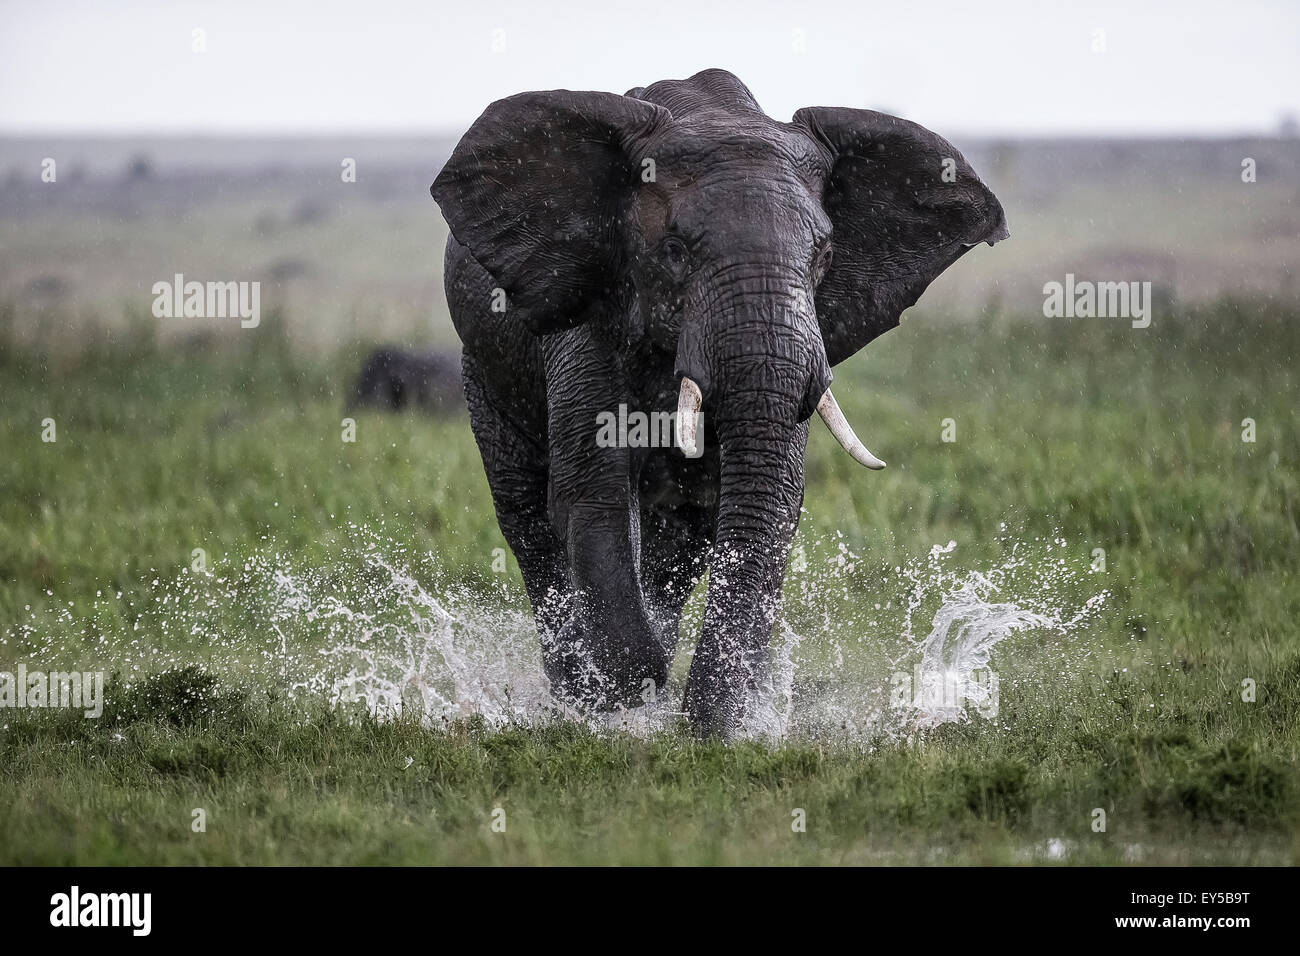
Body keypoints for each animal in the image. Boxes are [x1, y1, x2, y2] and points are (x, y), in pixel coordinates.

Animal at [431, 69, 1007, 737]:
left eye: (824, 256)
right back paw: (575, 691)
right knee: (524, 509)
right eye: (675, 250)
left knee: (679, 535)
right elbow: (593, 491)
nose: (702, 723)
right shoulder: (588, 306)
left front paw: (718, 722)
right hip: (482, 367)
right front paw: (630, 690)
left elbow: (765, 499)